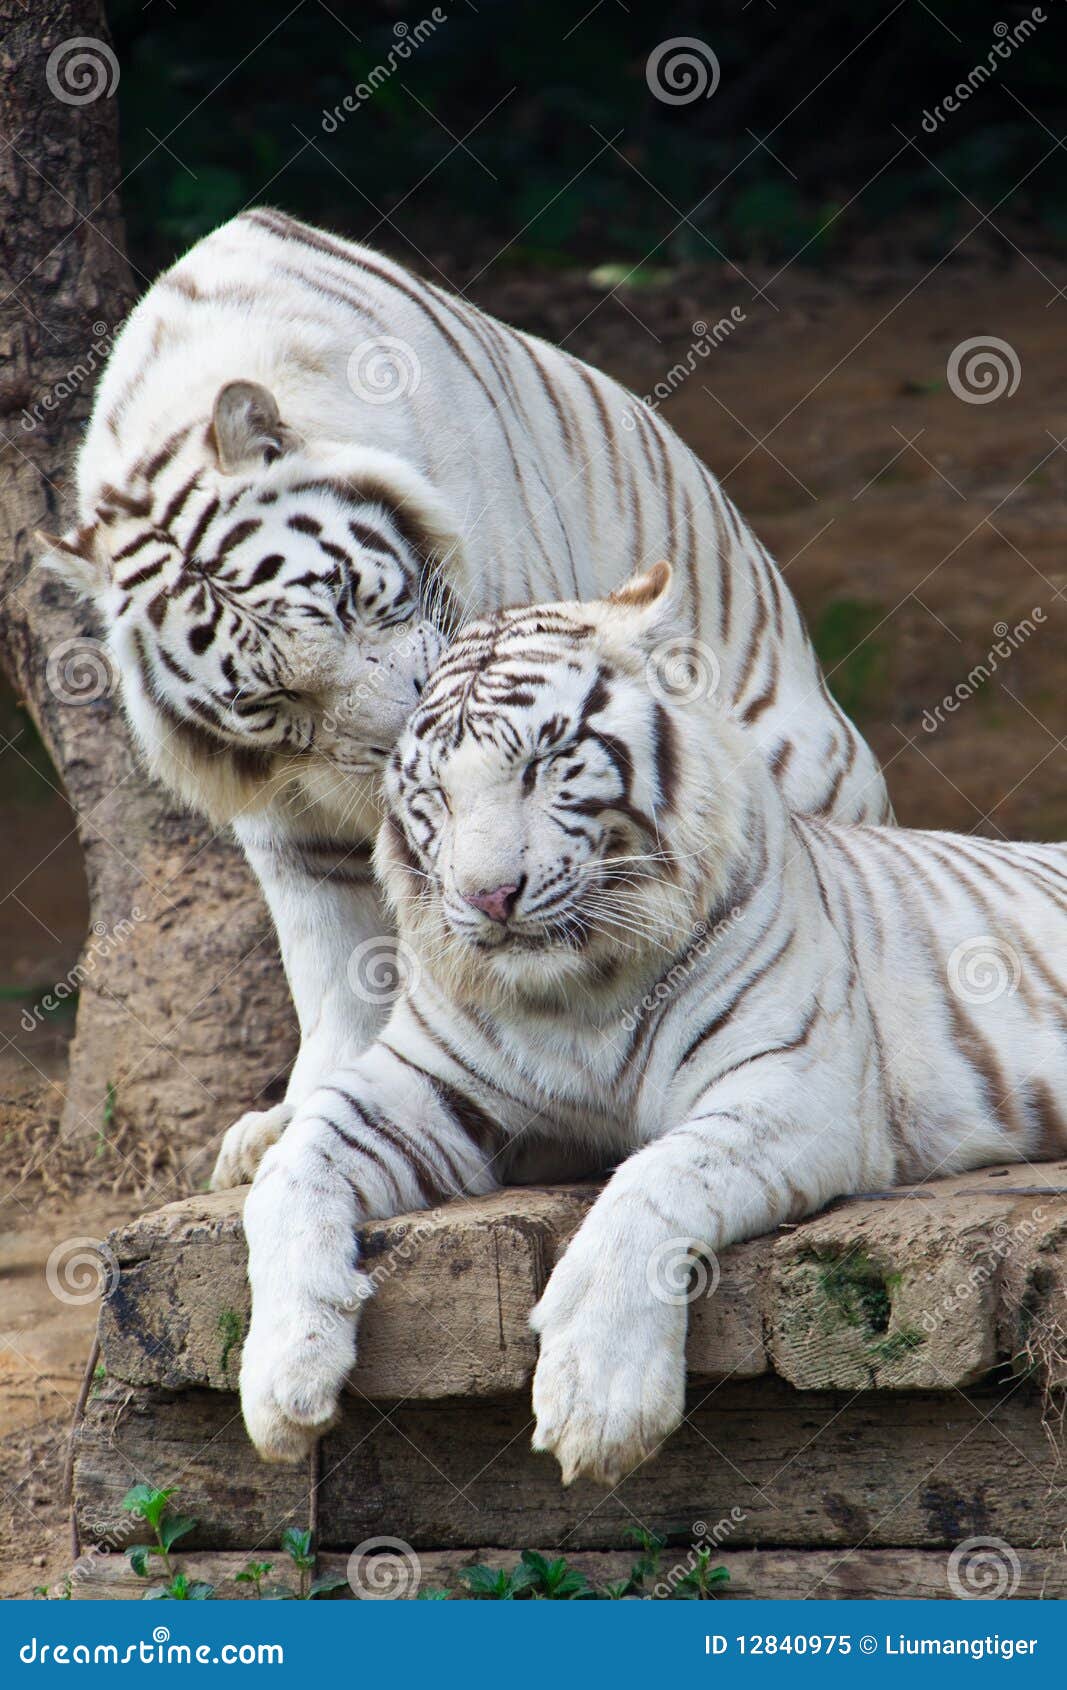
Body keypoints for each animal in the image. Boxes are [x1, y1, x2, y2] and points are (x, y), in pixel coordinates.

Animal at [42, 207, 889, 1178]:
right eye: (269, 701)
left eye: (349, 599)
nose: (395, 745)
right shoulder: (287, 817)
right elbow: (330, 965)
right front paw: (292, 1119)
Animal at [239, 560, 1067, 1483]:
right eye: (433, 796)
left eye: (541, 765)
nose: (487, 897)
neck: (576, 992)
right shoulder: (422, 1085)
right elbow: (292, 1165)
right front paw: (280, 1378)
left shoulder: (794, 1086)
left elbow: (654, 1181)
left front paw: (598, 1402)